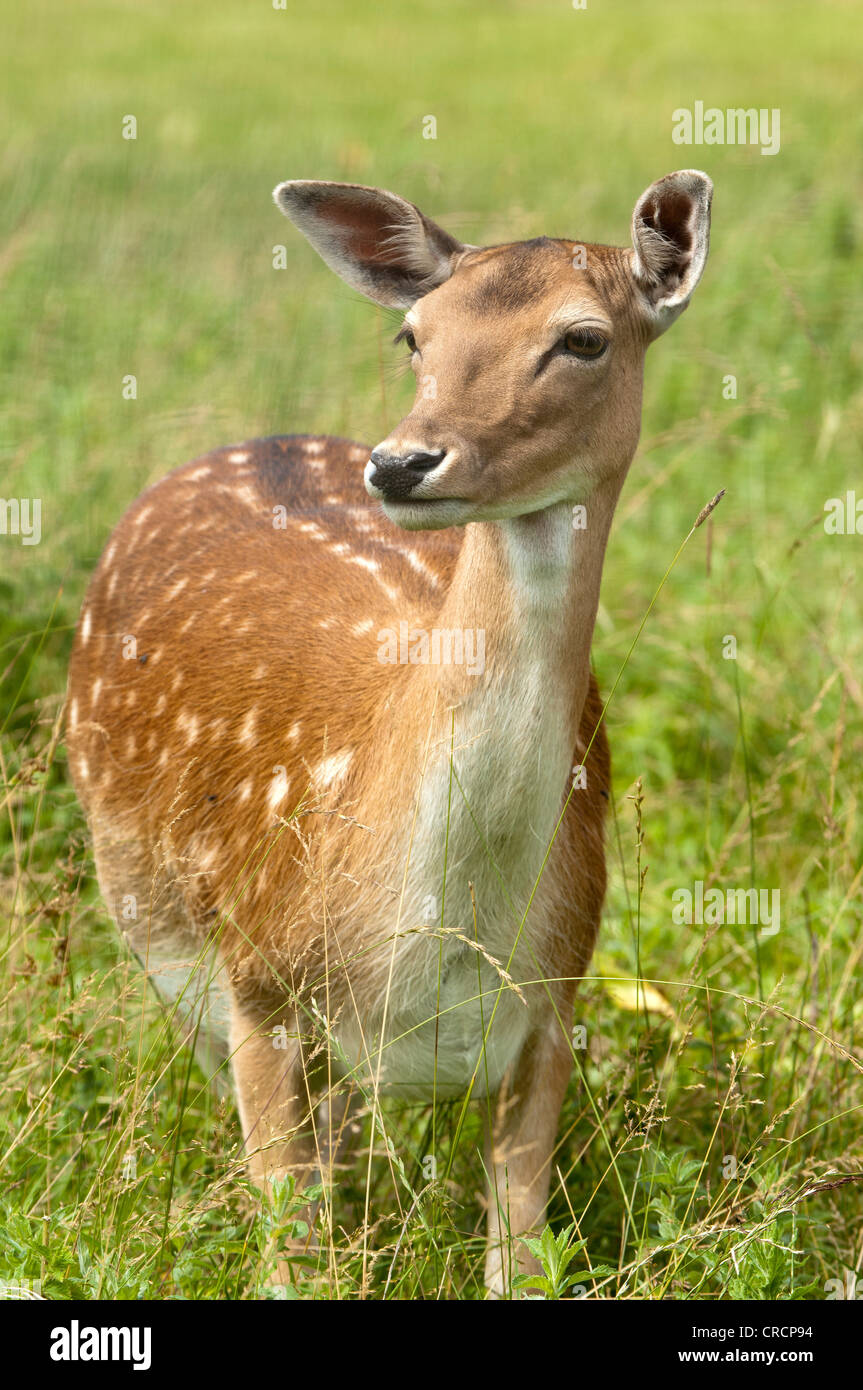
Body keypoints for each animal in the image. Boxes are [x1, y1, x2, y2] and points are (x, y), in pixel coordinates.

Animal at [66, 168, 712, 1297]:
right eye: (413, 334)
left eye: (583, 339)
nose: (404, 463)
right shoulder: (259, 988)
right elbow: (289, 1256)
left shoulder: (553, 1002)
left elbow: (517, 1260)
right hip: (161, 938)